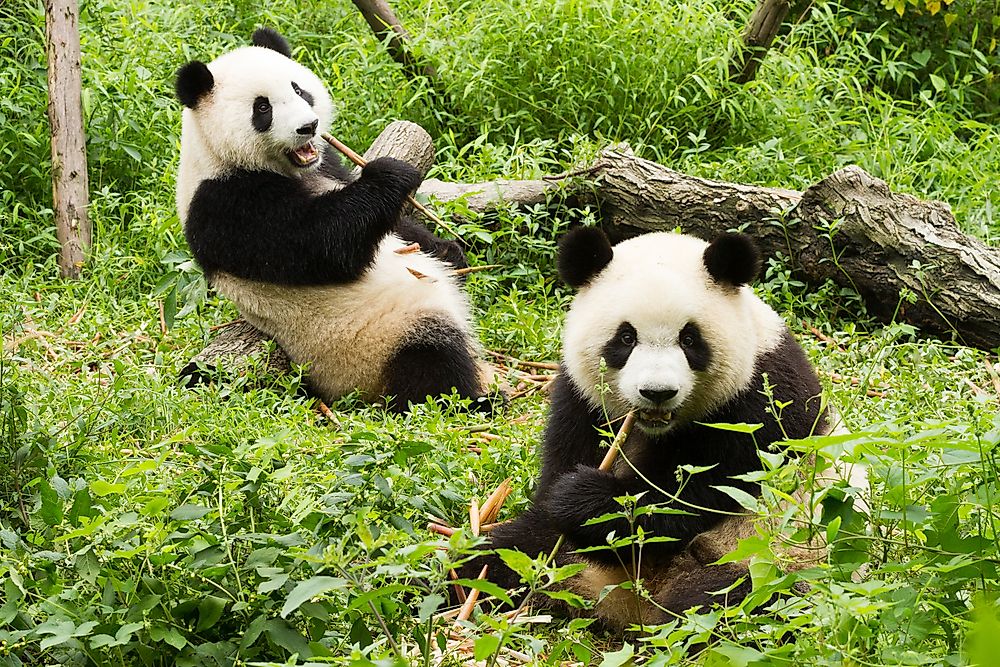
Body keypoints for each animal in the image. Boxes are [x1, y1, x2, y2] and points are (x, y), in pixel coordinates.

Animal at [174, 28, 494, 412]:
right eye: (262, 107)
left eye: (299, 89)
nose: (308, 126)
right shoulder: (224, 204)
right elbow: (325, 244)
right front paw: (391, 173)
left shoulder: (324, 165)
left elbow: (390, 225)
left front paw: (447, 250)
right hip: (378, 341)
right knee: (432, 363)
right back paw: (473, 401)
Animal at [457, 228, 864, 628]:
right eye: (626, 337)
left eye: (689, 338)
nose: (657, 392)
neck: (656, 429)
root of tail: (626, 602)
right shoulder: (581, 400)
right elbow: (559, 476)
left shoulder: (762, 401)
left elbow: (697, 495)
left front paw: (585, 498)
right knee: (511, 552)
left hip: (778, 561)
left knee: (738, 601)